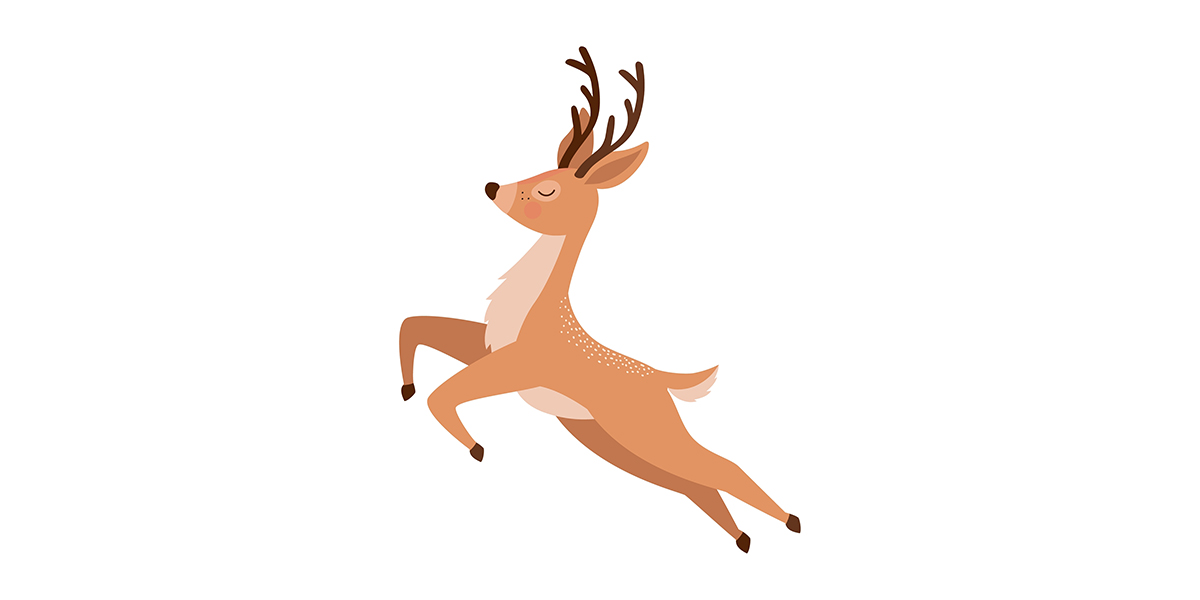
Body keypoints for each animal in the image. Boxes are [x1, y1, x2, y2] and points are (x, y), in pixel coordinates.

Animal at [398, 47, 800, 553]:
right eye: (541, 169)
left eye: (548, 187)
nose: (493, 188)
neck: (531, 308)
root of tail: (664, 380)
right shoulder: (488, 345)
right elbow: (414, 324)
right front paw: (407, 388)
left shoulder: (520, 364)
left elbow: (443, 395)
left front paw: (476, 447)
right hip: (606, 438)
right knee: (692, 484)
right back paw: (744, 537)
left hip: (644, 429)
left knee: (719, 466)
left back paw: (790, 519)